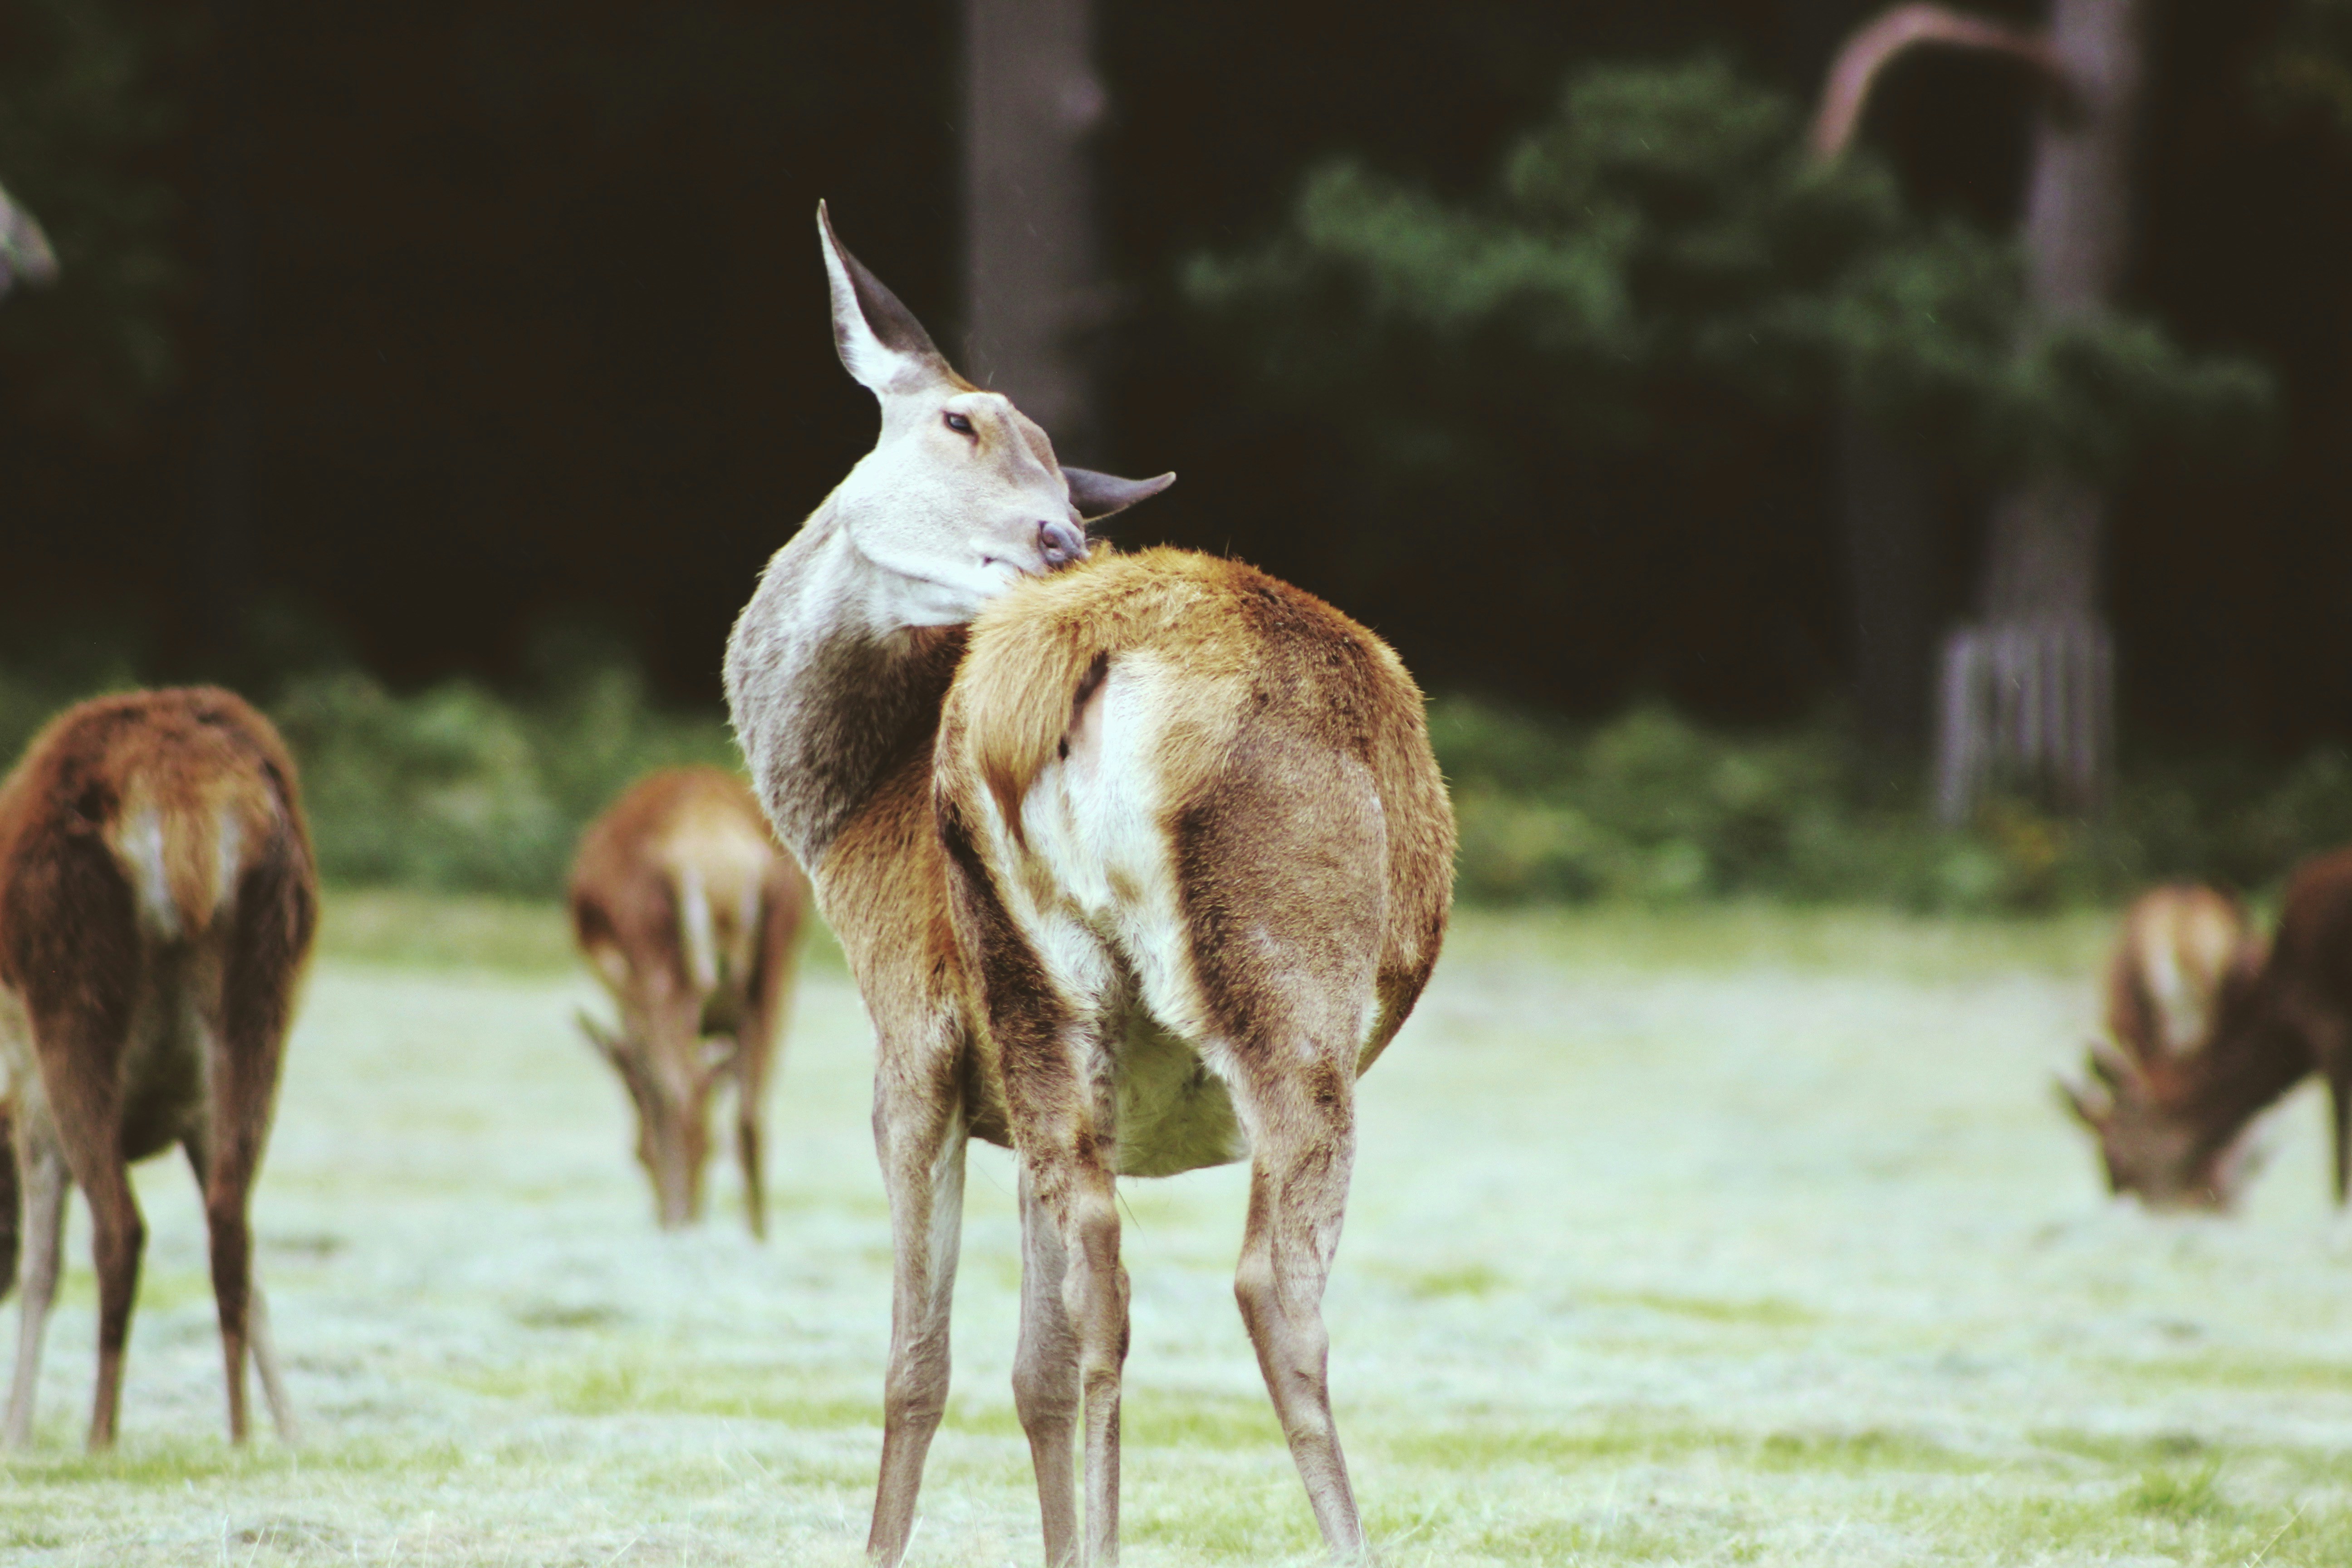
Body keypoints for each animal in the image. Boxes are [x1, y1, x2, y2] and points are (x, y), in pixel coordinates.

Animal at [0, 687, 315, 1449]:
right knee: (233, 1228)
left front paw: (15, 1435)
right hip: (267, 984)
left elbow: (41, 1267)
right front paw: (294, 1429)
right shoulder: (197, 1114)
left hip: (71, 985)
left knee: (120, 1230)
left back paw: (99, 1438)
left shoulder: (31, 1106)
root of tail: (187, 797)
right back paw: (241, 1434)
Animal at [568, 765, 808, 1236]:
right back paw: (755, 1239)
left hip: (661, 963)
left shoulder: (631, 1000)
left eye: (637, 1155)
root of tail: (722, 859)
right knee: (750, 1115)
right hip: (777, 967)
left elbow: (659, 1094)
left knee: (686, 1094)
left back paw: (686, 1232)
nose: (659, 1214)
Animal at [723, 205, 1454, 1567]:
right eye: (958, 423)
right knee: (1176, 1277)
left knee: (1197, 1282)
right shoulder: (967, 1056)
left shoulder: (919, 1038)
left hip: (1166, 976)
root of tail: (1075, 647)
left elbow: (953, 1365)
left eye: (1066, 476)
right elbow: (1001, 1364)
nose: (1063, 538)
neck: (845, 827)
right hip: (1166, 981)